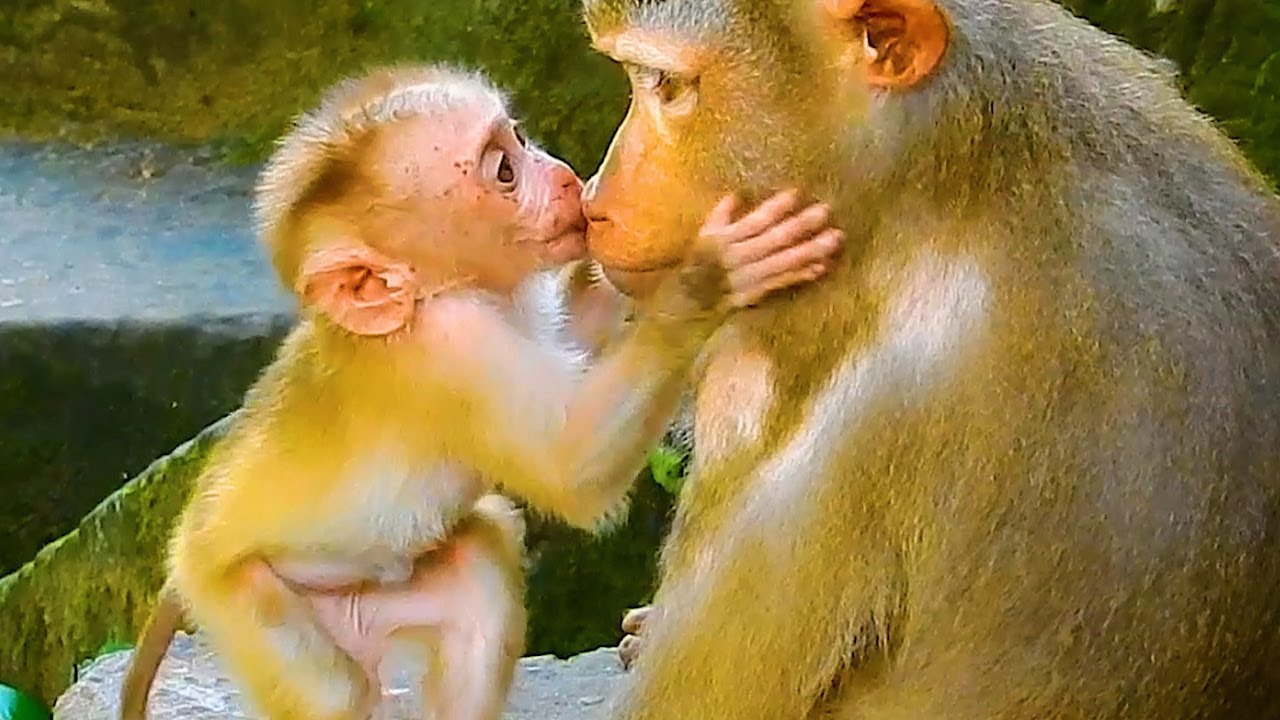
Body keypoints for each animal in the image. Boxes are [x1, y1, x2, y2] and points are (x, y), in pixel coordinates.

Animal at [118, 63, 843, 720]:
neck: (449, 291)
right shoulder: (448, 347)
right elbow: (571, 470)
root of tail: (185, 555)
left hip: (365, 598)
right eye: (504, 172)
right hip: (243, 601)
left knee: (480, 565)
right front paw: (709, 270)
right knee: (338, 692)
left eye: (518, 139)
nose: (568, 178)